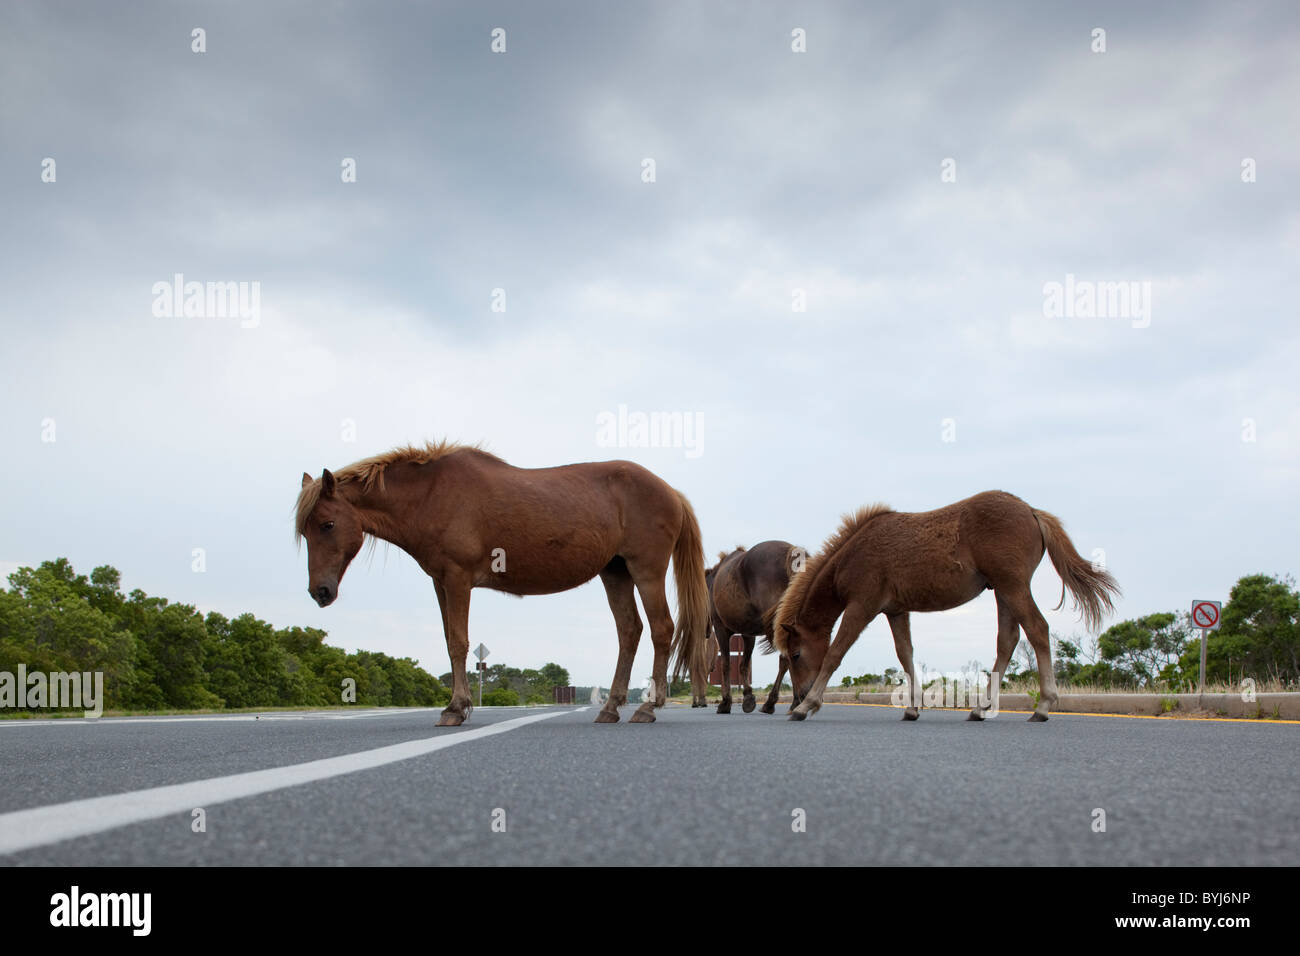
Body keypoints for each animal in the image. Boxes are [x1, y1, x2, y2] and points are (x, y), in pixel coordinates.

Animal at [295, 441, 711, 725]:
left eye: (327, 524)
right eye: (305, 530)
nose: (320, 592)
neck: (431, 494)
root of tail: (671, 492)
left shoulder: (458, 578)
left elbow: (459, 642)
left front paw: (455, 708)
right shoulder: (440, 582)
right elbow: (449, 640)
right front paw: (456, 704)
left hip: (646, 570)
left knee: (661, 629)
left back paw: (648, 706)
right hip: (615, 572)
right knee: (629, 631)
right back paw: (610, 708)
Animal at [705, 541, 804, 714]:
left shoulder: (721, 629)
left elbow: (726, 664)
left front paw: (726, 702)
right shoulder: (748, 633)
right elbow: (743, 664)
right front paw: (748, 698)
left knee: (785, 659)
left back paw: (771, 702)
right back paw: (796, 702)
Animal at [767, 490, 1119, 722]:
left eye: (795, 655)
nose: (799, 695)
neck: (853, 555)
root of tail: (1031, 511)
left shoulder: (861, 607)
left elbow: (835, 654)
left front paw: (808, 706)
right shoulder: (895, 610)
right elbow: (905, 654)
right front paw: (912, 709)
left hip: (1013, 585)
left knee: (1037, 629)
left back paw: (1043, 706)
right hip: (1003, 591)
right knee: (1008, 641)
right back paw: (980, 709)